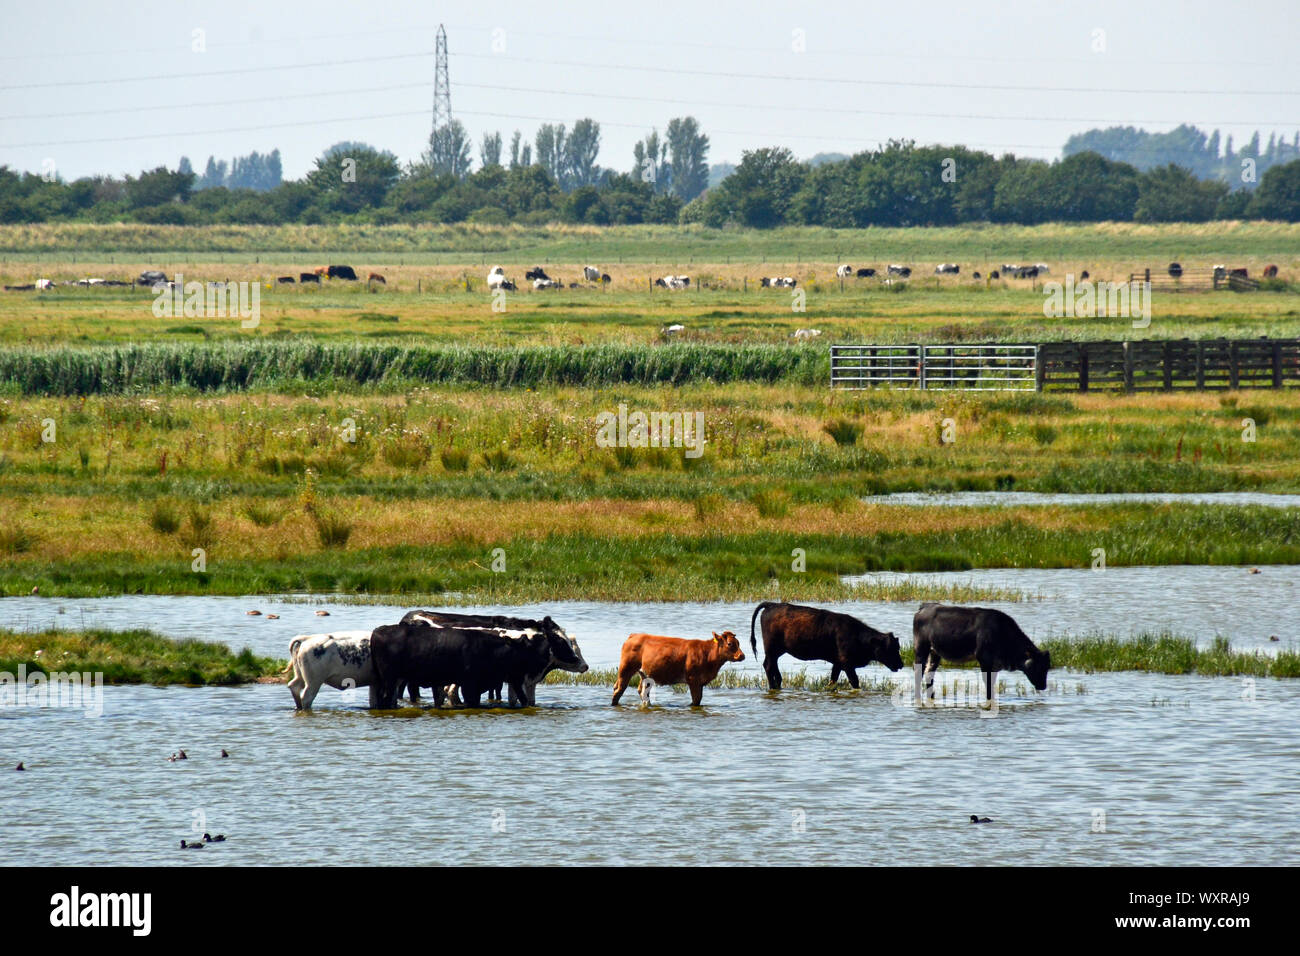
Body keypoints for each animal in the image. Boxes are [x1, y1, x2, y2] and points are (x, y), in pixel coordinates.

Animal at [611, 631, 744, 707]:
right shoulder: (693, 680)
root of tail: (634, 635)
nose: (742, 655)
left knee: (642, 691)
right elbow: (696, 700)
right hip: (626, 668)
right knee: (619, 689)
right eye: (730, 644)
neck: (707, 654)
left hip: (645, 674)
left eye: (738, 643)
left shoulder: (700, 682)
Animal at [749, 601, 903, 690]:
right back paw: (772, 687)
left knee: (772, 667)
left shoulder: (838, 664)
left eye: (898, 647)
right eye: (890, 648)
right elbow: (854, 681)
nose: (901, 665)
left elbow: (833, 679)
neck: (857, 635)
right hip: (772, 649)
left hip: (776, 651)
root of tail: (772, 605)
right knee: (769, 666)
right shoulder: (847, 664)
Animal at [912, 602, 1051, 705]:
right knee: (919, 672)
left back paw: (932, 696)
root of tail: (925, 606)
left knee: (929, 673)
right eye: (1038, 665)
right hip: (921, 649)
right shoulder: (984, 659)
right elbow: (988, 682)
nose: (1043, 686)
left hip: (935, 652)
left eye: (1047, 666)